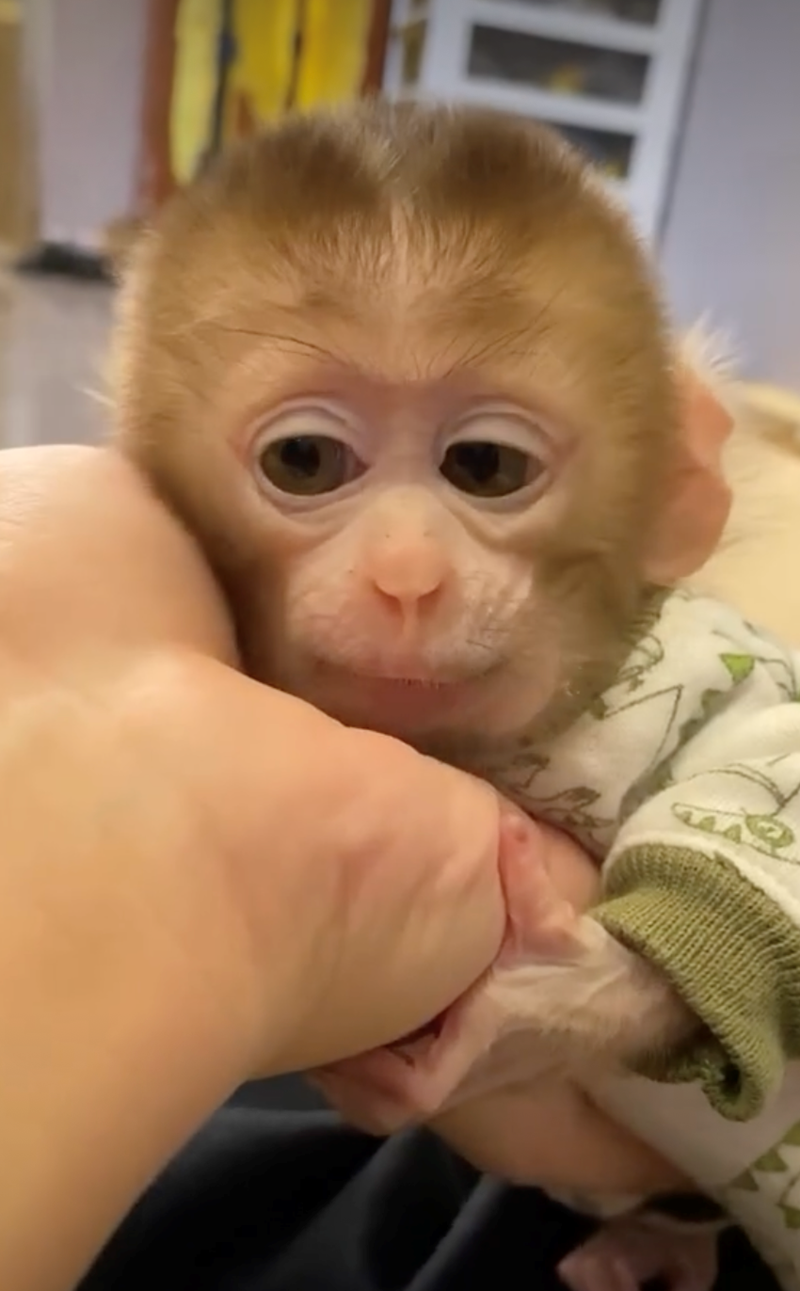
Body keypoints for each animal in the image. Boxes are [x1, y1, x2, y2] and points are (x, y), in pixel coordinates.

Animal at [109, 101, 800, 1291]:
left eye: (483, 467)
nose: (404, 577)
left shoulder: (689, 653)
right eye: (305, 460)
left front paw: (560, 991)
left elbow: (768, 759)